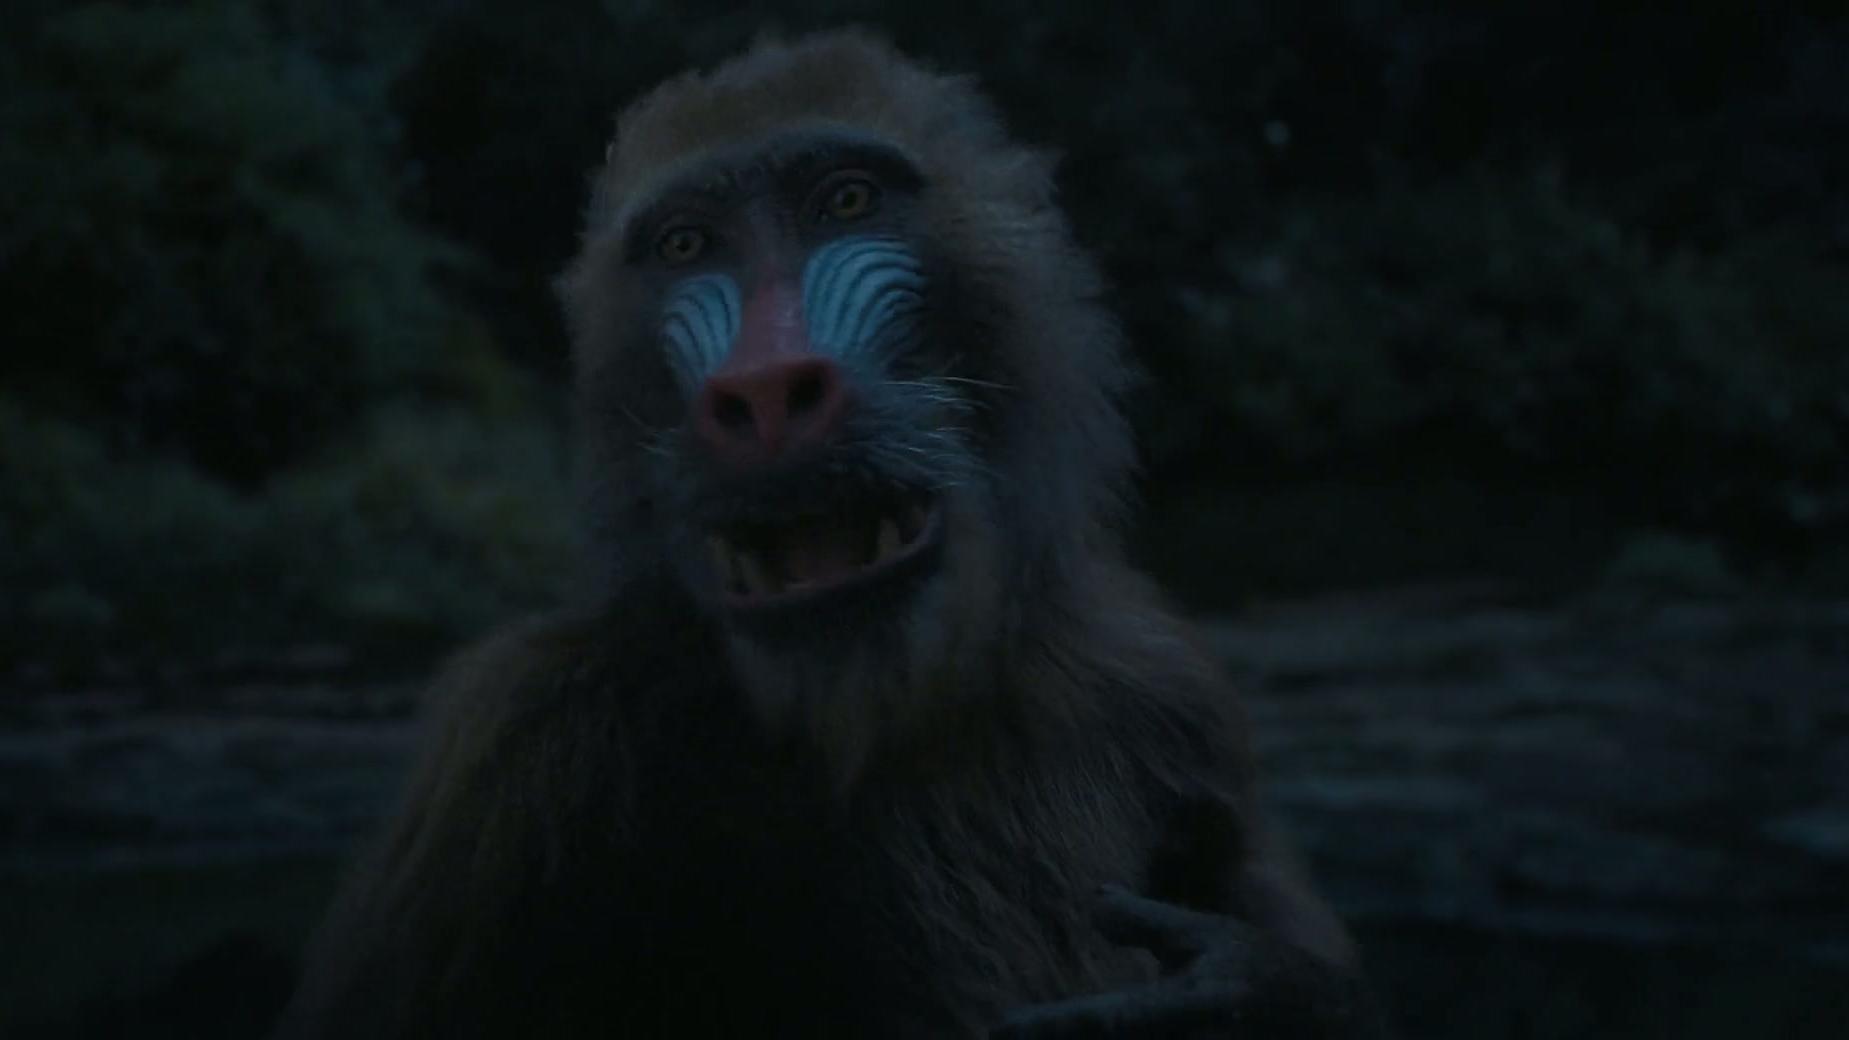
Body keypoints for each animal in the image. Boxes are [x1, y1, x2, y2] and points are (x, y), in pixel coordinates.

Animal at [274, 29, 1380, 1040]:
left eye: (843, 203)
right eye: (687, 246)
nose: (764, 391)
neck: (882, 722)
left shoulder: (1164, 688)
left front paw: (1253, 986)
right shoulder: (510, 753)